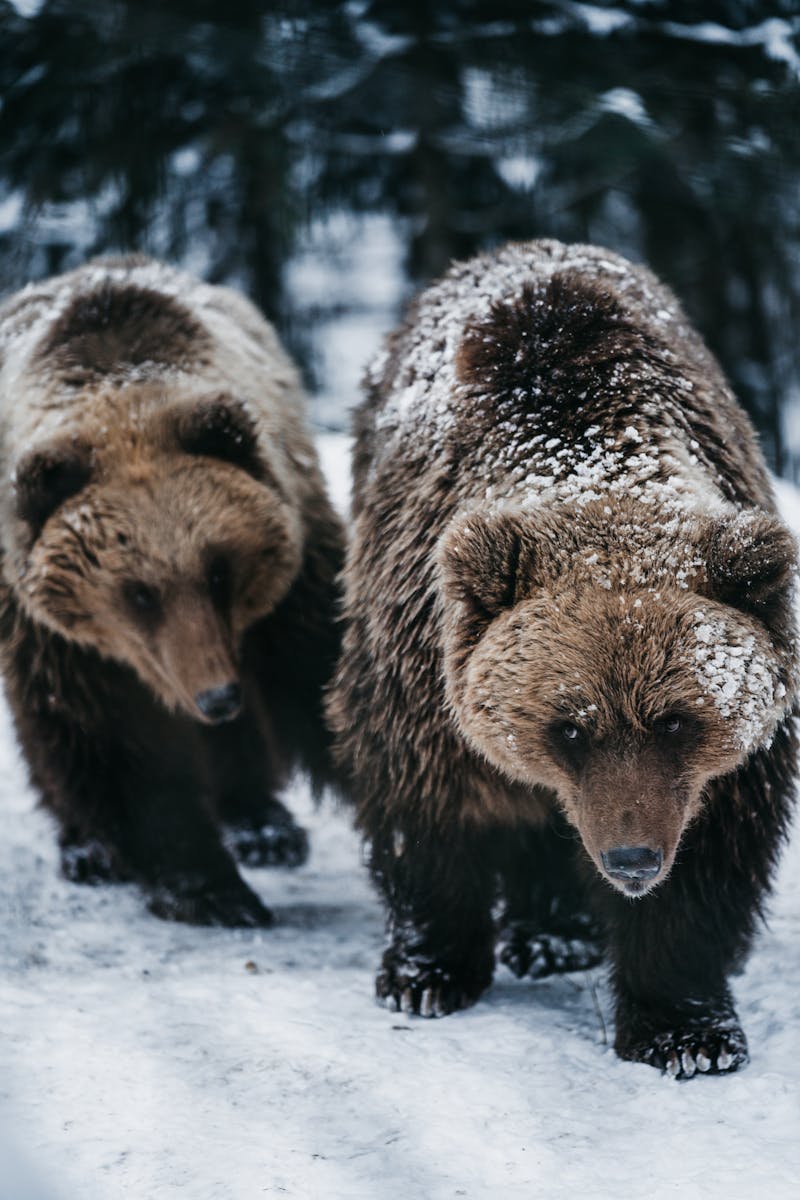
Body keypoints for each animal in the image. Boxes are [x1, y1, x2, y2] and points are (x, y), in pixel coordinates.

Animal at [0, 255, 343, 926]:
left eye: (219, 569)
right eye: (138, 593)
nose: (216, 695)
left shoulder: (291, 574)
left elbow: (319, 671)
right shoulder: (60, 639)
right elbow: (107, 745)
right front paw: (212, 891)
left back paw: (264, 825)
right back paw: (86, 850)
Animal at [327, 238, 798, 1077]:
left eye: (677, 721)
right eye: (569, 726)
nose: (633, 857)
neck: (584, 451)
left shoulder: (723, 766)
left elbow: (706, 870)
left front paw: (686, 1032)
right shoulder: (421, 670)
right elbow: (424, 811)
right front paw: (425, 973)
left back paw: (555, 936)